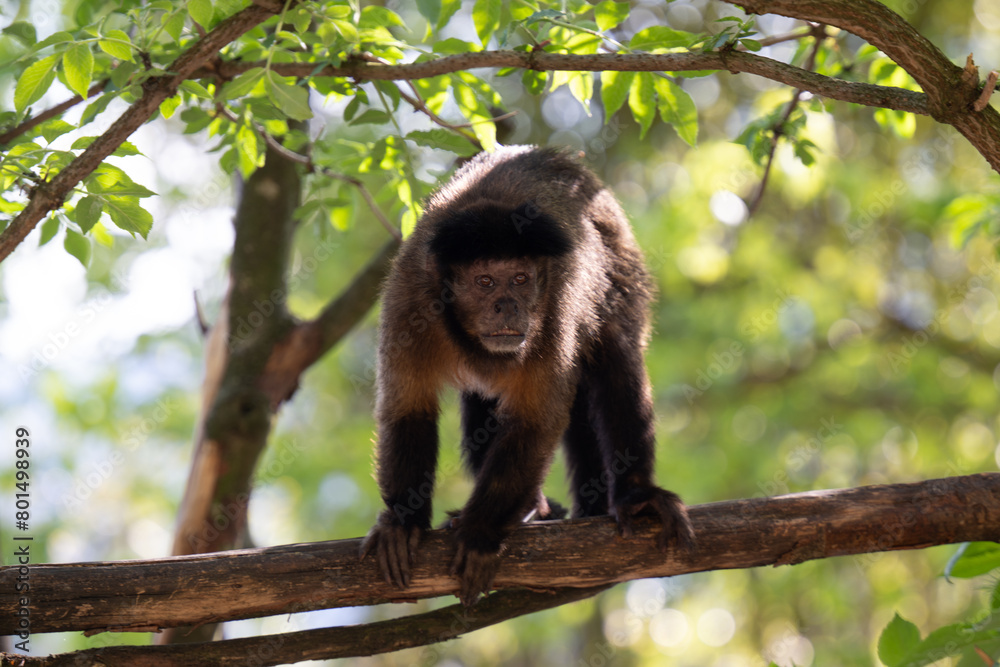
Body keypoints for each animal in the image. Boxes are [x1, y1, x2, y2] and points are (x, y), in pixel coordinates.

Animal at [361, 145, 694, 605]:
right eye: (485, 282)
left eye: (520, 278)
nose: (509, 305)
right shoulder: (409, 303)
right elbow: (406, 411)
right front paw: (403, 522)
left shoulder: (553, 311)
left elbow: (537, 423)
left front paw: (480, 533)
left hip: (623, 262)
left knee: (615, 358)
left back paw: (636, 494)